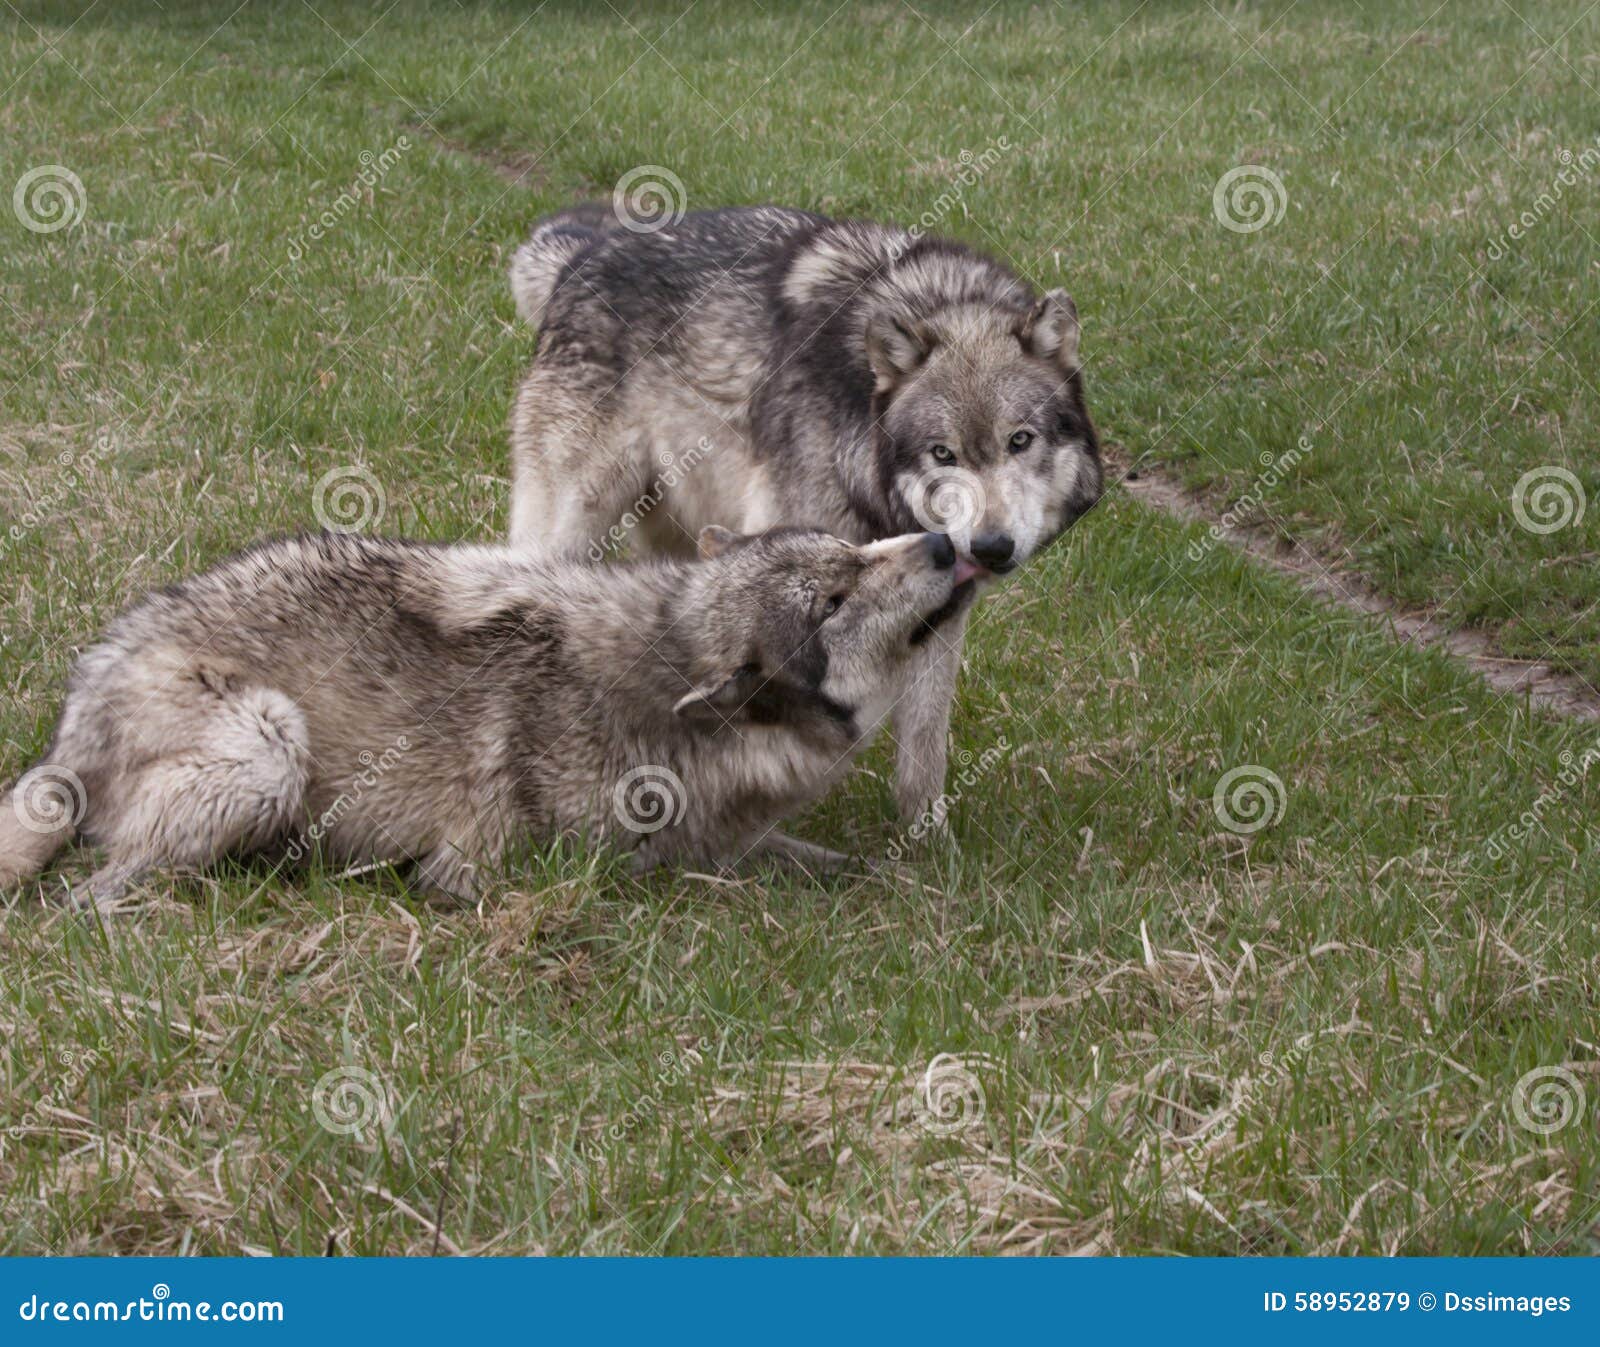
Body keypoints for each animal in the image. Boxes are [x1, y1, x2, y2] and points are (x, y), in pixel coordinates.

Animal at [0, 526, 977, 908]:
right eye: (834, 601)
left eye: (856, 546)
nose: (944, 540)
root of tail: (81, 701)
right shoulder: (489, 872)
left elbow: (823, 860)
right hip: (269, 751)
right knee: (90, 890)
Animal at [507, 205, 1102, 825]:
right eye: (943, 454)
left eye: (1020, 440)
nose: (990, 548)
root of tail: (586, 251)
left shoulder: (939, 611)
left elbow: (923, 757)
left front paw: (927, 841)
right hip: (569, 527)